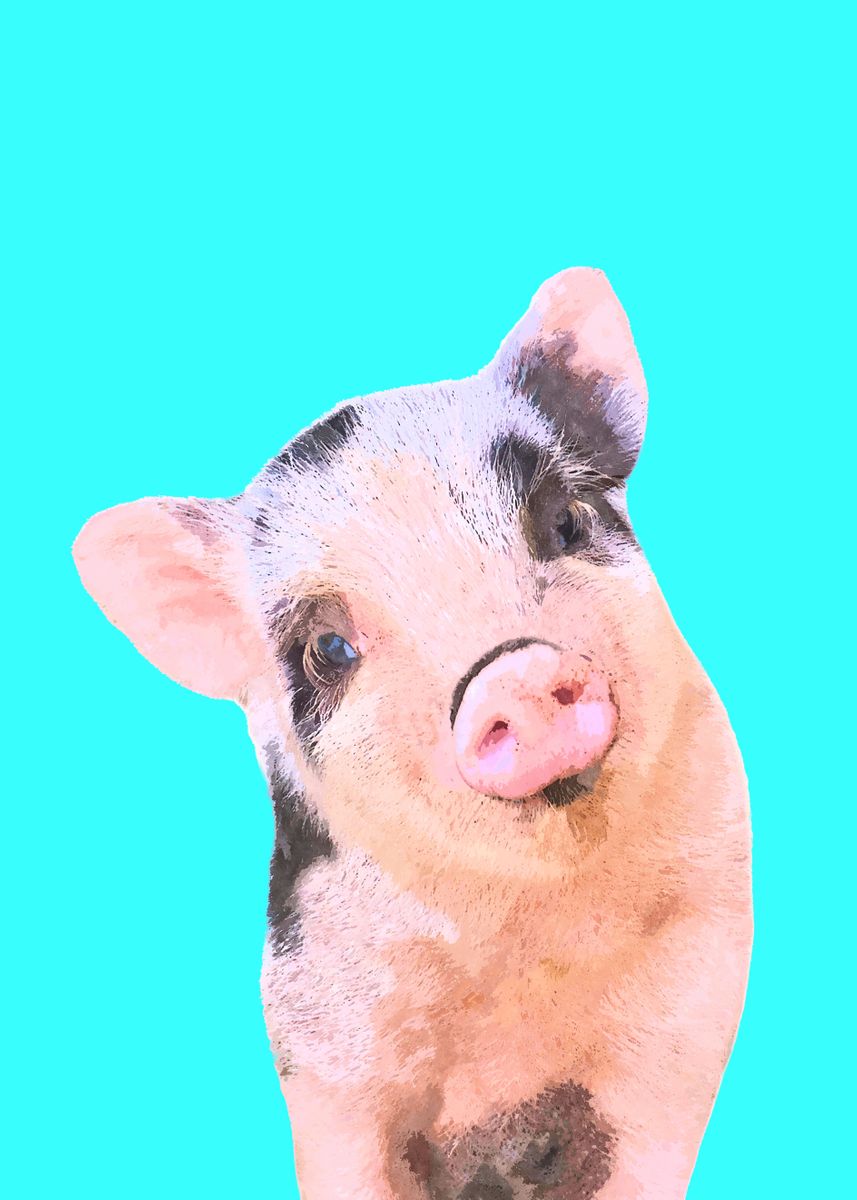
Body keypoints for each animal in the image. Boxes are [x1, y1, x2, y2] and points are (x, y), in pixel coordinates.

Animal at [73, 268, 753, 1200]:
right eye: (328, 649)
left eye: (567, 521)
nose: (514, 675)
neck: (526, 937)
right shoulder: (323, 1052)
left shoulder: (689, 1005)